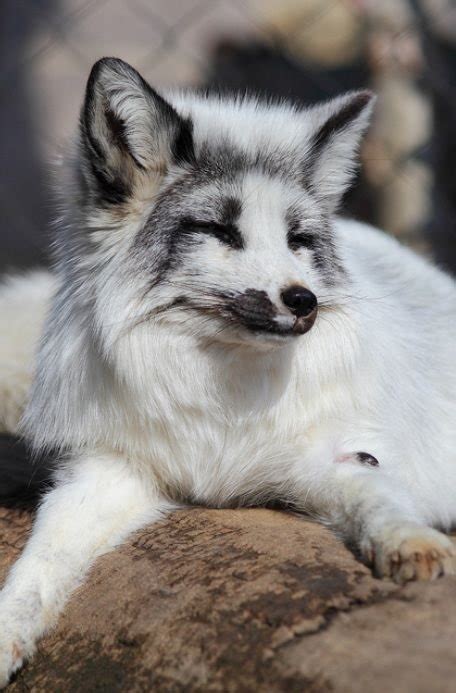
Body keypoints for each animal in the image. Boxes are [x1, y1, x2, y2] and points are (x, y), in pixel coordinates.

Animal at [0, 56, 455, 686]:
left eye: (298, 239)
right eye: (220, 230)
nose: (304, 300)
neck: (220, 395)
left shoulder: (329, 454)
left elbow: (377, 496)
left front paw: (411, 543)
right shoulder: (110, 466)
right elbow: (42, 557)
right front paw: (6, 630)